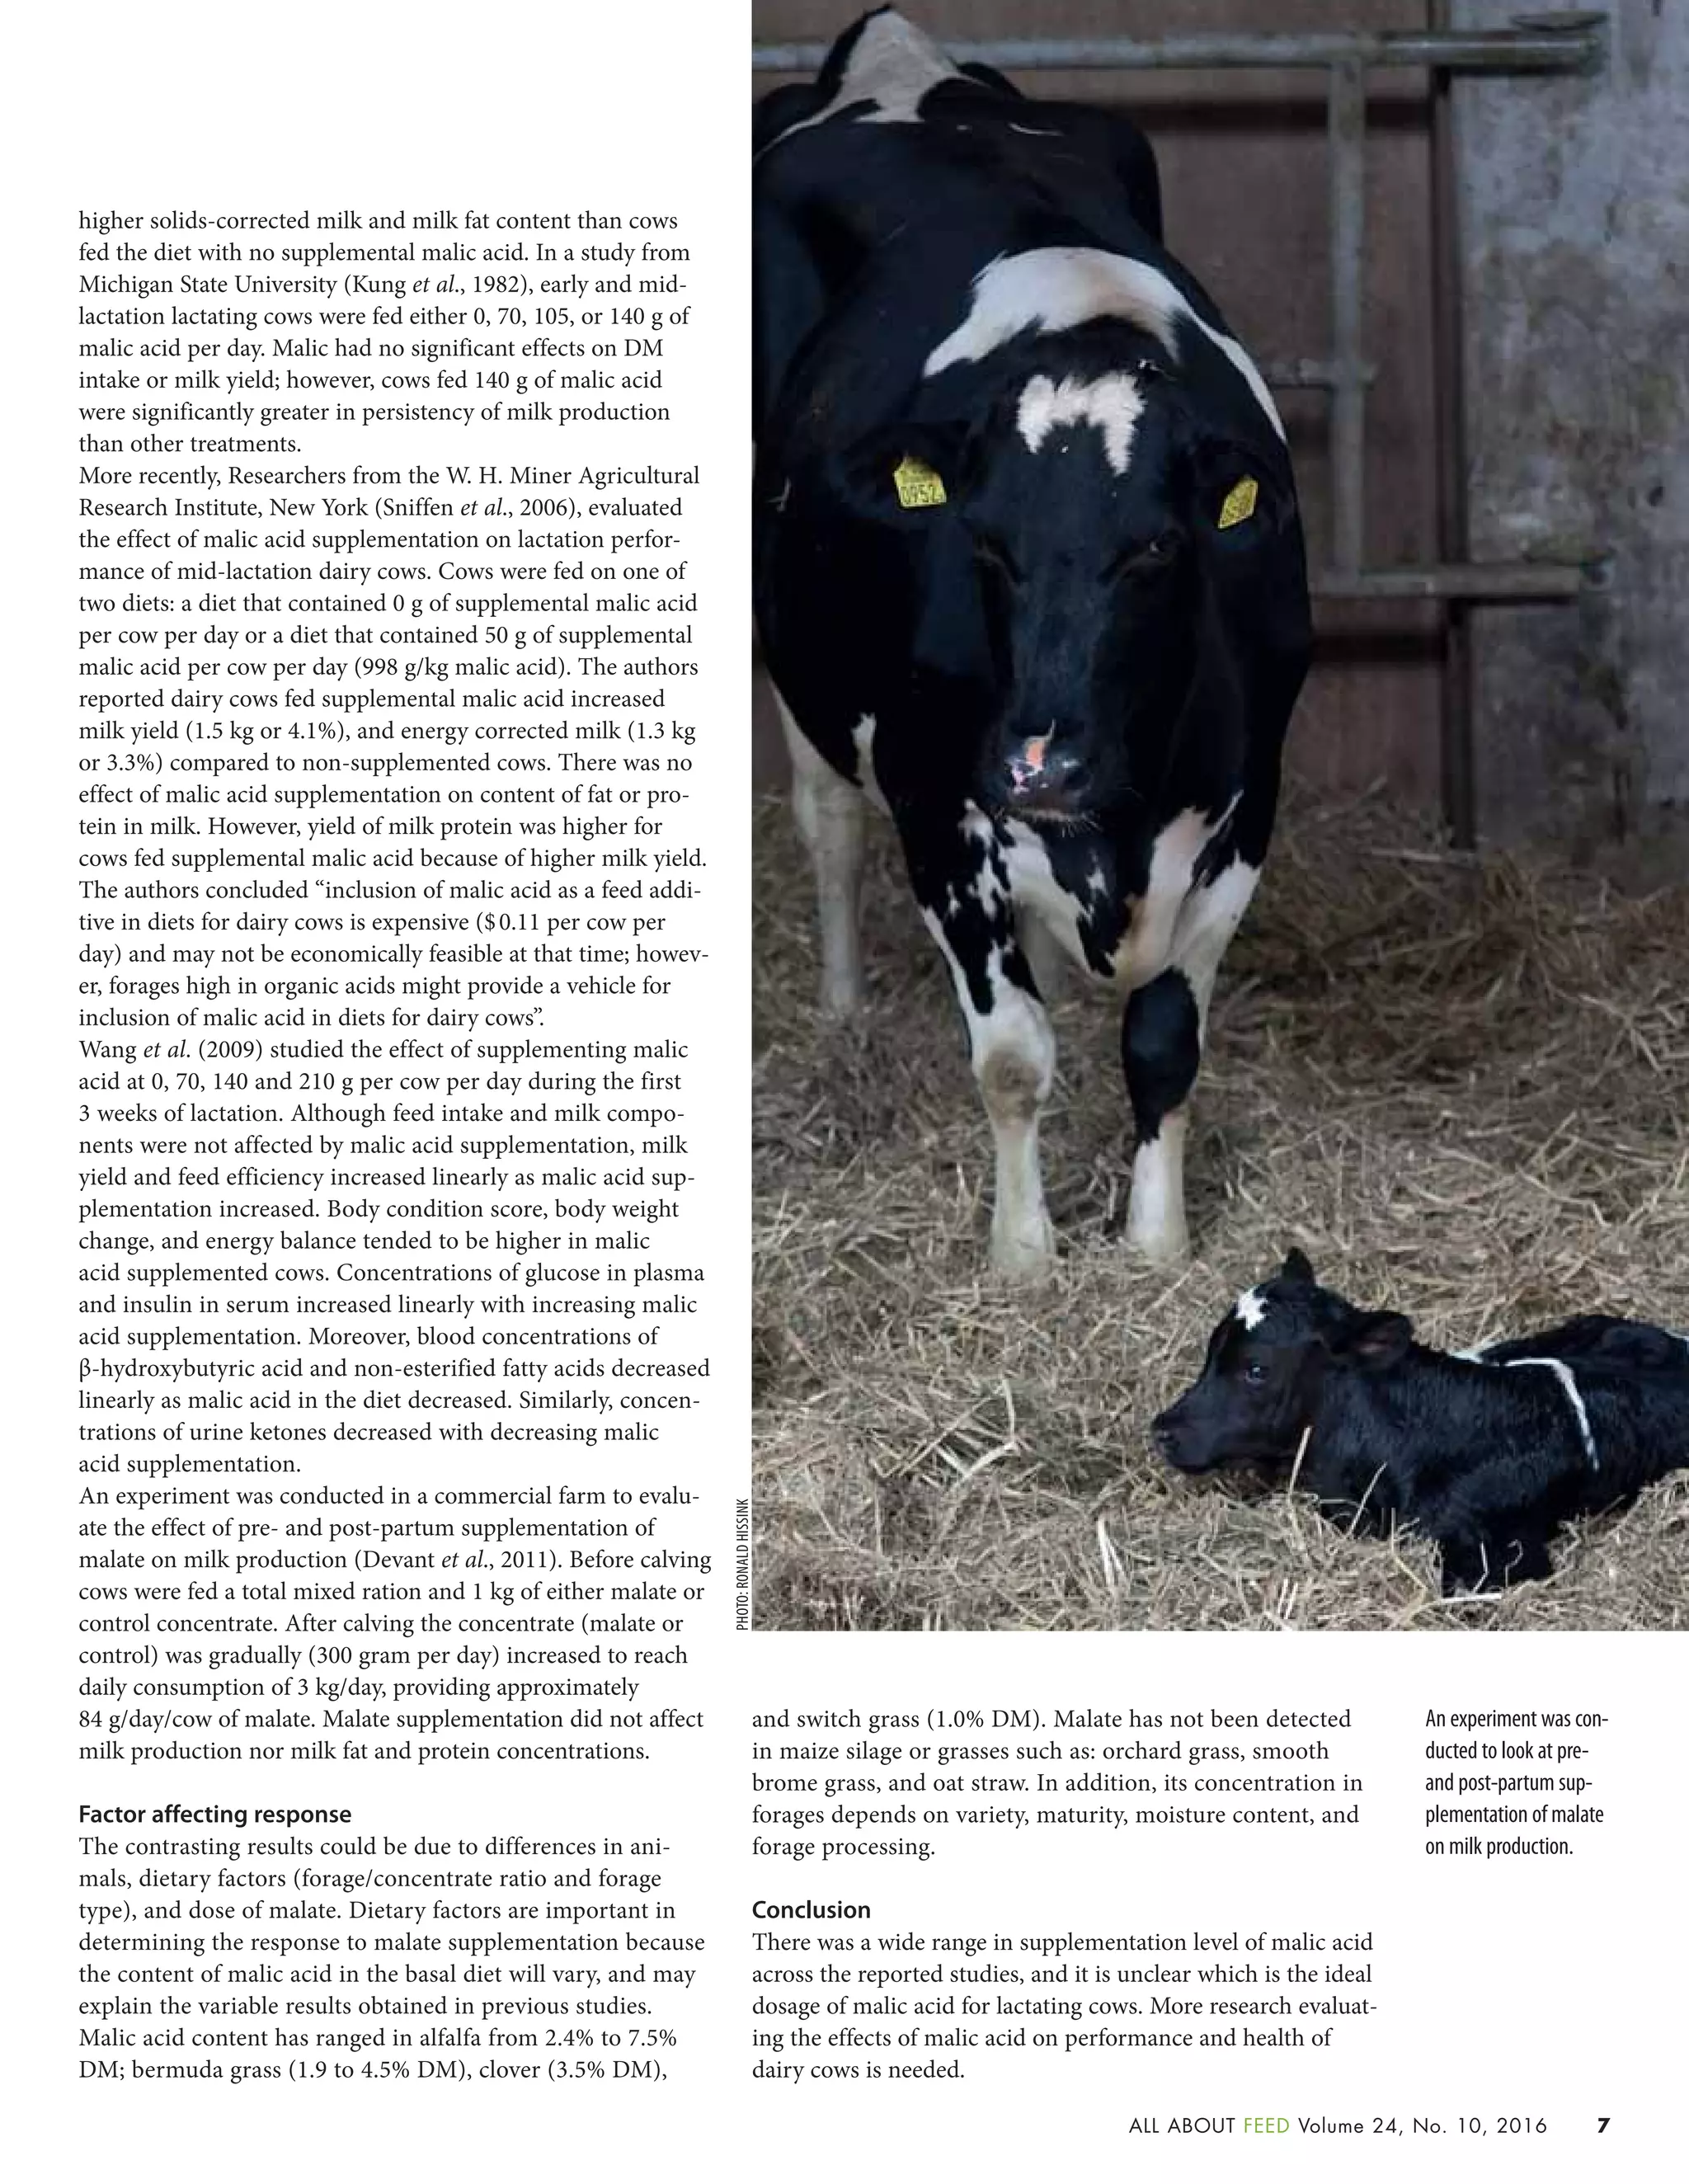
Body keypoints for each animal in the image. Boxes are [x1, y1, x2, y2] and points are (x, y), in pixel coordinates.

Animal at [754, 9, 1311, 1280]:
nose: (1040, 764)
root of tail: (897, 57)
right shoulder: (936, 804)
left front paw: (1156, 1244)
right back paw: (844, 1008)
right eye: (986, 546)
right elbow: (1013, 1054)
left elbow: (1163, 1039)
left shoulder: (1246, 804)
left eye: (1153, 549)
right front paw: (1022, 1257)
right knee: (826, 823)